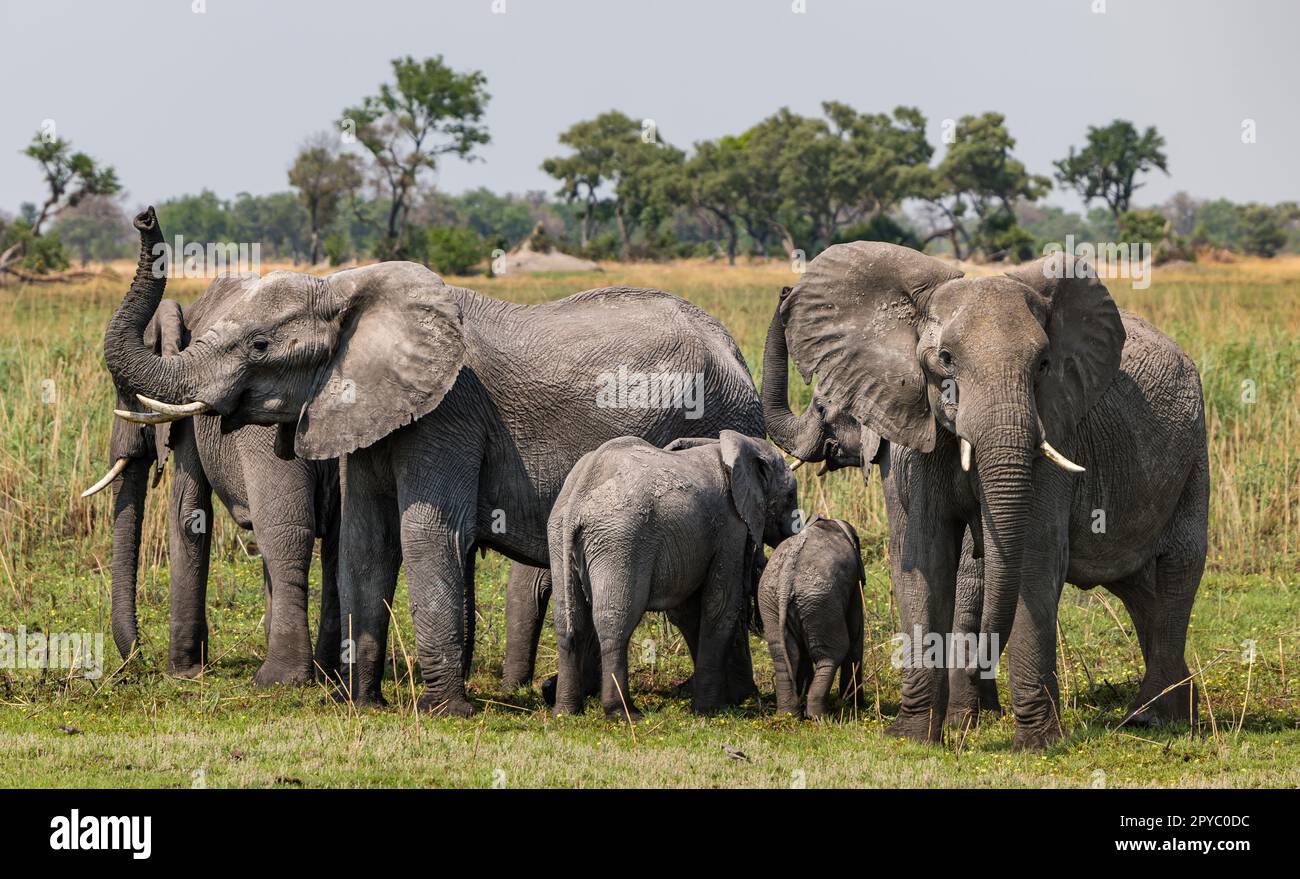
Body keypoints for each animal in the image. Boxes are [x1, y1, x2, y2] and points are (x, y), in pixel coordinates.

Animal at [86, 289, 340, 686]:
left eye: (127, 391)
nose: (138, 661)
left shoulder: (192, 418)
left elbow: (188, 515)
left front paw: (183, 672)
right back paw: (332, 674)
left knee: (284, 533)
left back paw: (282, 679)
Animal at [548, 432, 800, 718]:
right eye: (791, 495)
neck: (736, 446)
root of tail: (579, 494)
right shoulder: (730, 525)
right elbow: (720, 605)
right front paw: (711, 710)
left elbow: (688, 612)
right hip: (620, 539)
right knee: (616, 620)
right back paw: (625, 715)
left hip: (558, 536)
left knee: (569, 620)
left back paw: (565, 712)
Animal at [757, 516, 864, 719]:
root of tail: (786, 581)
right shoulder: (854, 585)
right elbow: (855, 635)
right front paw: (857, 706)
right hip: (820, 600)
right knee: (831, 654)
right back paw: (820, 717)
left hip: (772, 602)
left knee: (784, 654)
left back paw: (789, 715)